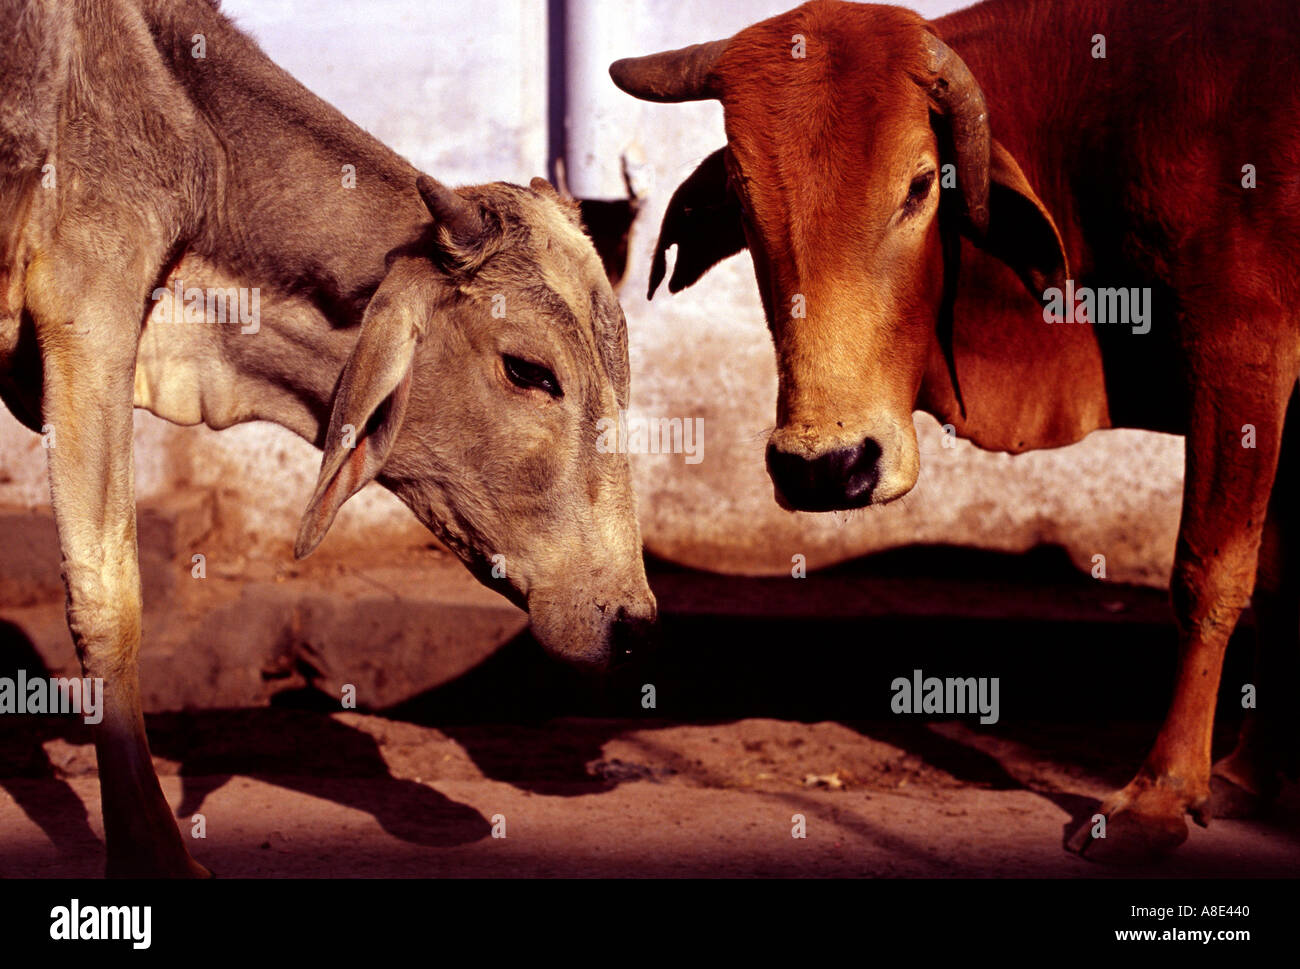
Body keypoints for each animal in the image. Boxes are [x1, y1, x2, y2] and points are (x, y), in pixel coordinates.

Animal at [610, 0, 1300, 862]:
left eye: (917, 187)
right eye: (741, 193)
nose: (825, 467)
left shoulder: (1241, 348)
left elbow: (1210, 572)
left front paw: (1161, 794)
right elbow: (1276, 577)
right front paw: (1250, 776)